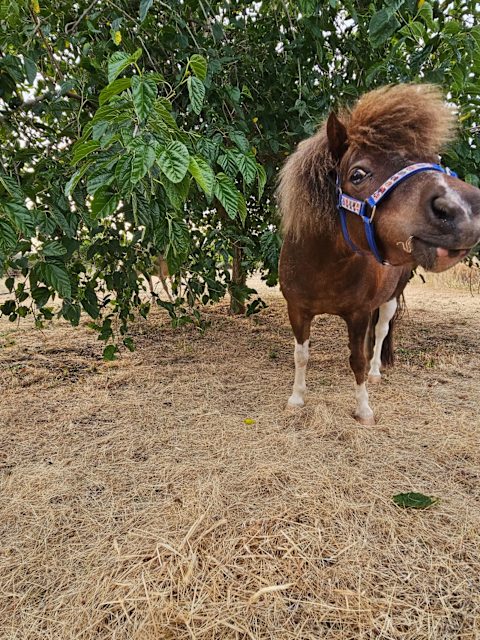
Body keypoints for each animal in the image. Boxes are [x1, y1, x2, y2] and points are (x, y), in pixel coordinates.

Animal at [278, 84, 480, 425]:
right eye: (358, 174)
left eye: (434, 159)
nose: (464, 208)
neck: (323, 265)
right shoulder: (298, 309)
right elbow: (301, 355)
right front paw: (296, 399)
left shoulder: (358, 314)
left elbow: (357, 359)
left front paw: (363, 409)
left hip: (391, 298)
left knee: (382, 331)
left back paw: (375, 374)